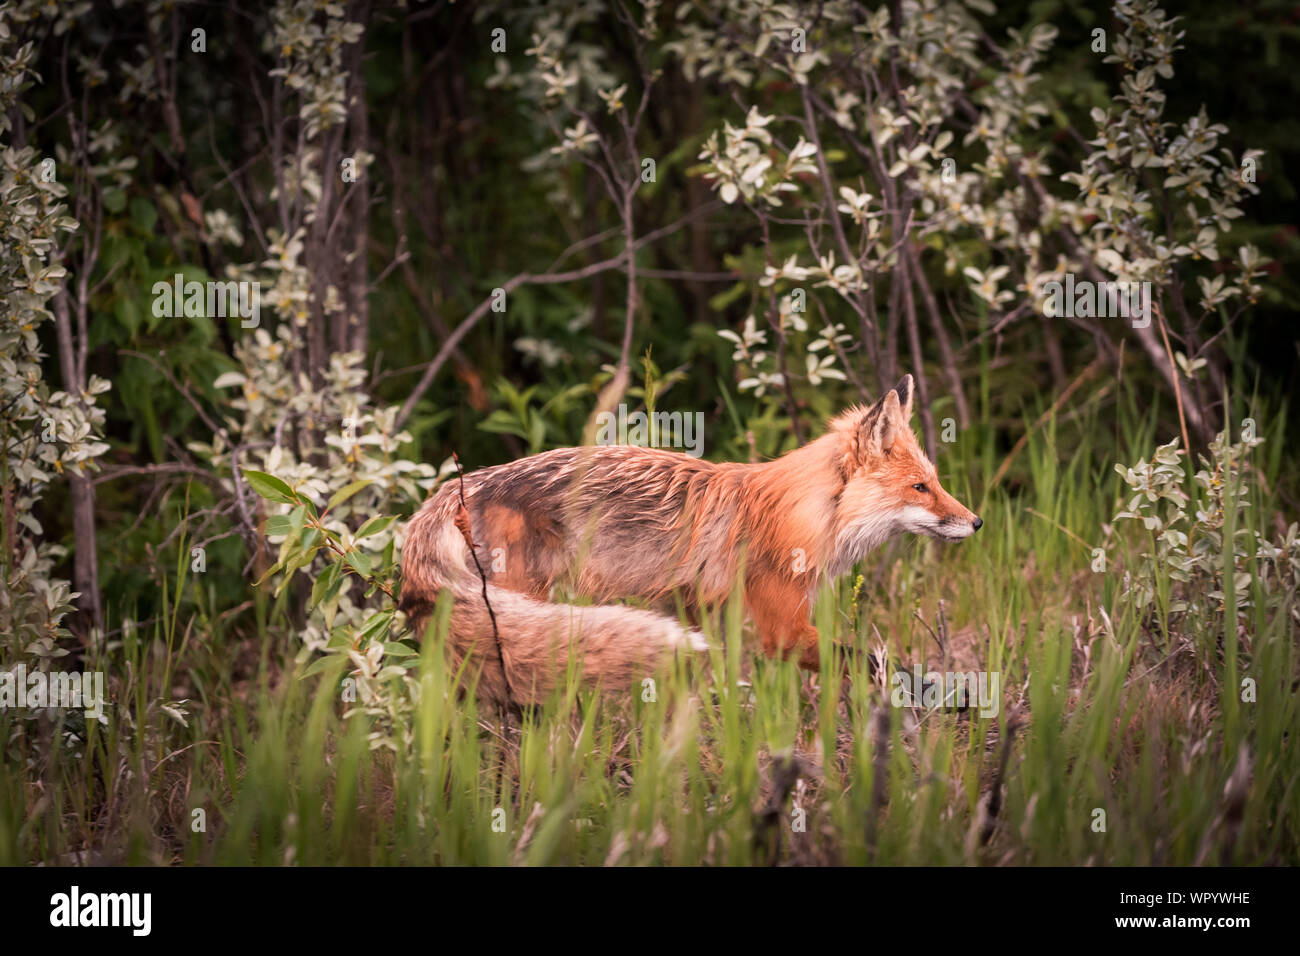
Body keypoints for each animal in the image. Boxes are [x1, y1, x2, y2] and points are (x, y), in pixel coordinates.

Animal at [398, 374, 981, 706]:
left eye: (936, 482)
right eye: (920, 487)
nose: (976, 523)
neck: (802, 514)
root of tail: (458, 486)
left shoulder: (699, 608)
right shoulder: (783, 631)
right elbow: (880, 663)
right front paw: (949, 696)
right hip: (520, 605)